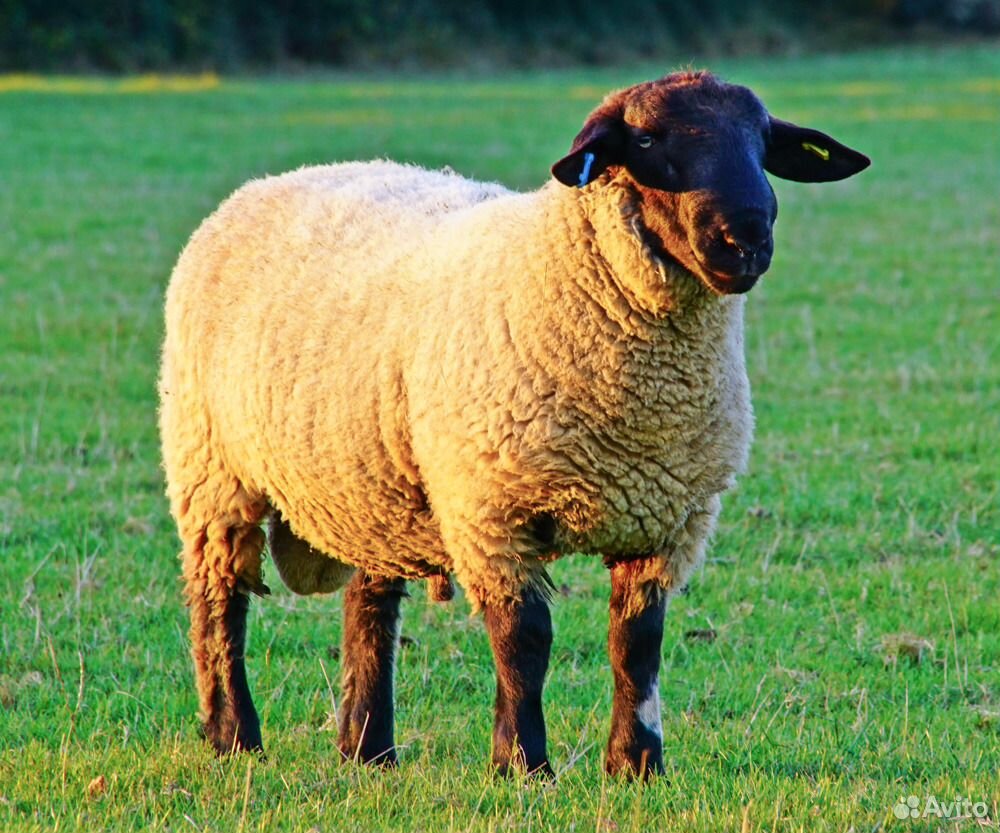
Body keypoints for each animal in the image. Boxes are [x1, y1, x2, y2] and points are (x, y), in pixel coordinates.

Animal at [159, 70, 869, 778]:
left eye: (762, 141)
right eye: (645, 138)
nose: (745, 240)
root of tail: (276, 180)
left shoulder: (668, 520)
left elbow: (637, 643)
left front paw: (636, 764)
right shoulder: (493, 510)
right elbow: (524, 640)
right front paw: (523, 764)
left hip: (374, 484)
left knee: (369, 604)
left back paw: (368, 749)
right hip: (210, 467)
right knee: (219, 601)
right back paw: (233, 736)